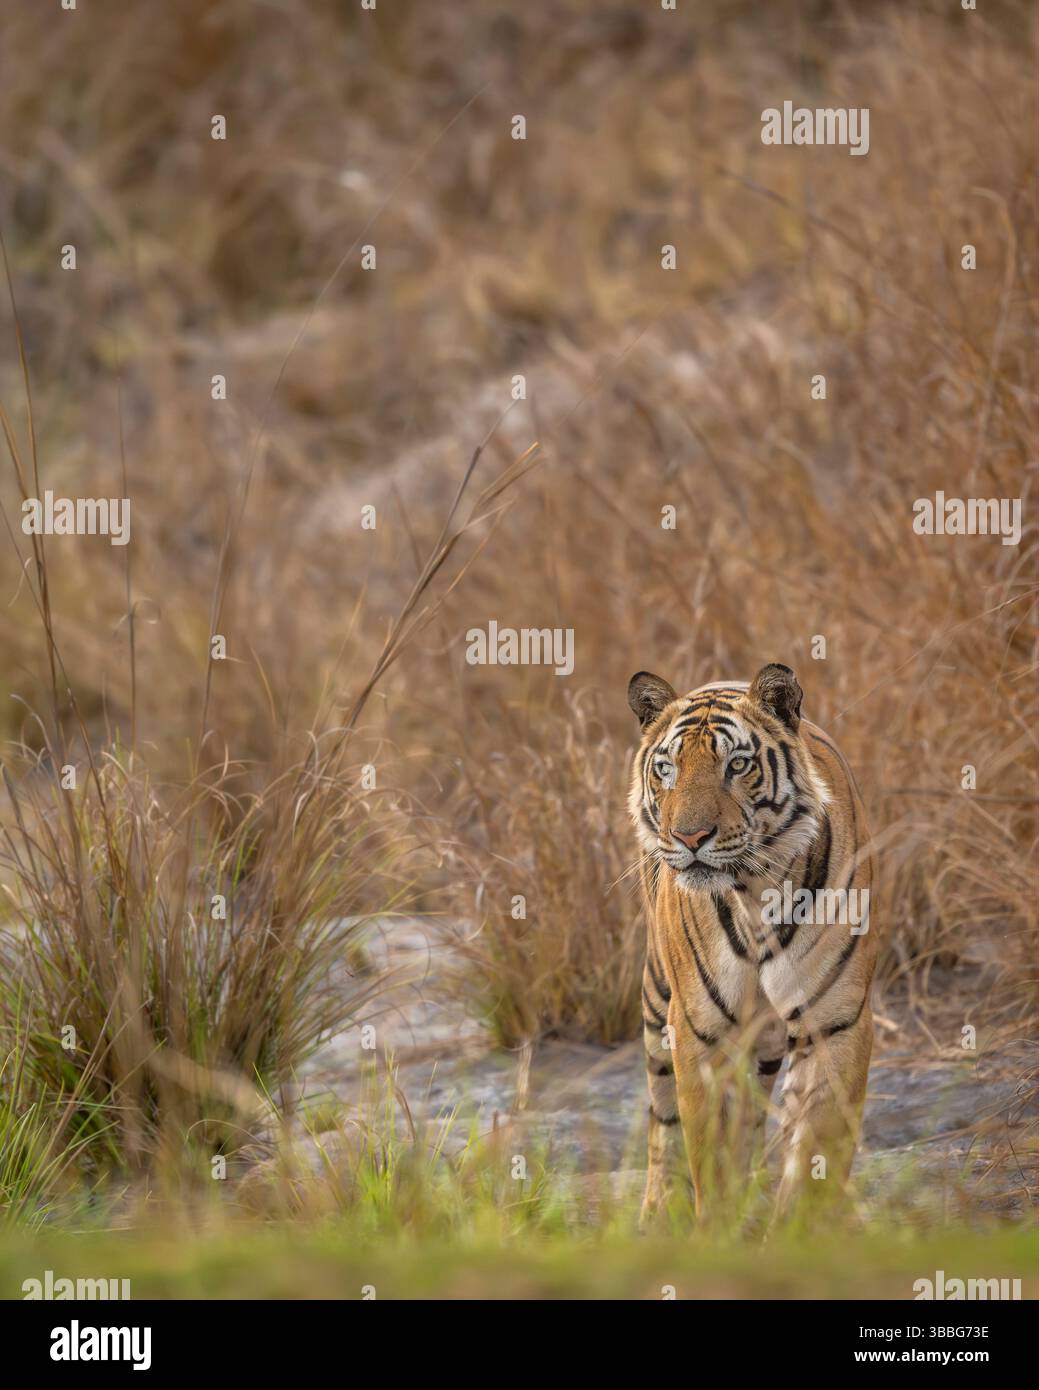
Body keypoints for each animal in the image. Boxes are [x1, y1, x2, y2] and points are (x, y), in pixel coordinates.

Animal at [627, 663, 876, 1223]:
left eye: (737, 765)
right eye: (667, 770)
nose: (689, 838)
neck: (754, 892)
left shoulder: (835, 1019)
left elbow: (816, 1150)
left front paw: (797, 1229)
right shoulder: (699, 1029)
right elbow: (708, 1152)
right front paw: (717, 1227)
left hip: (762, 1040)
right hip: (658, 1002)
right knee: (662, 1113)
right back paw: (657, 1210)